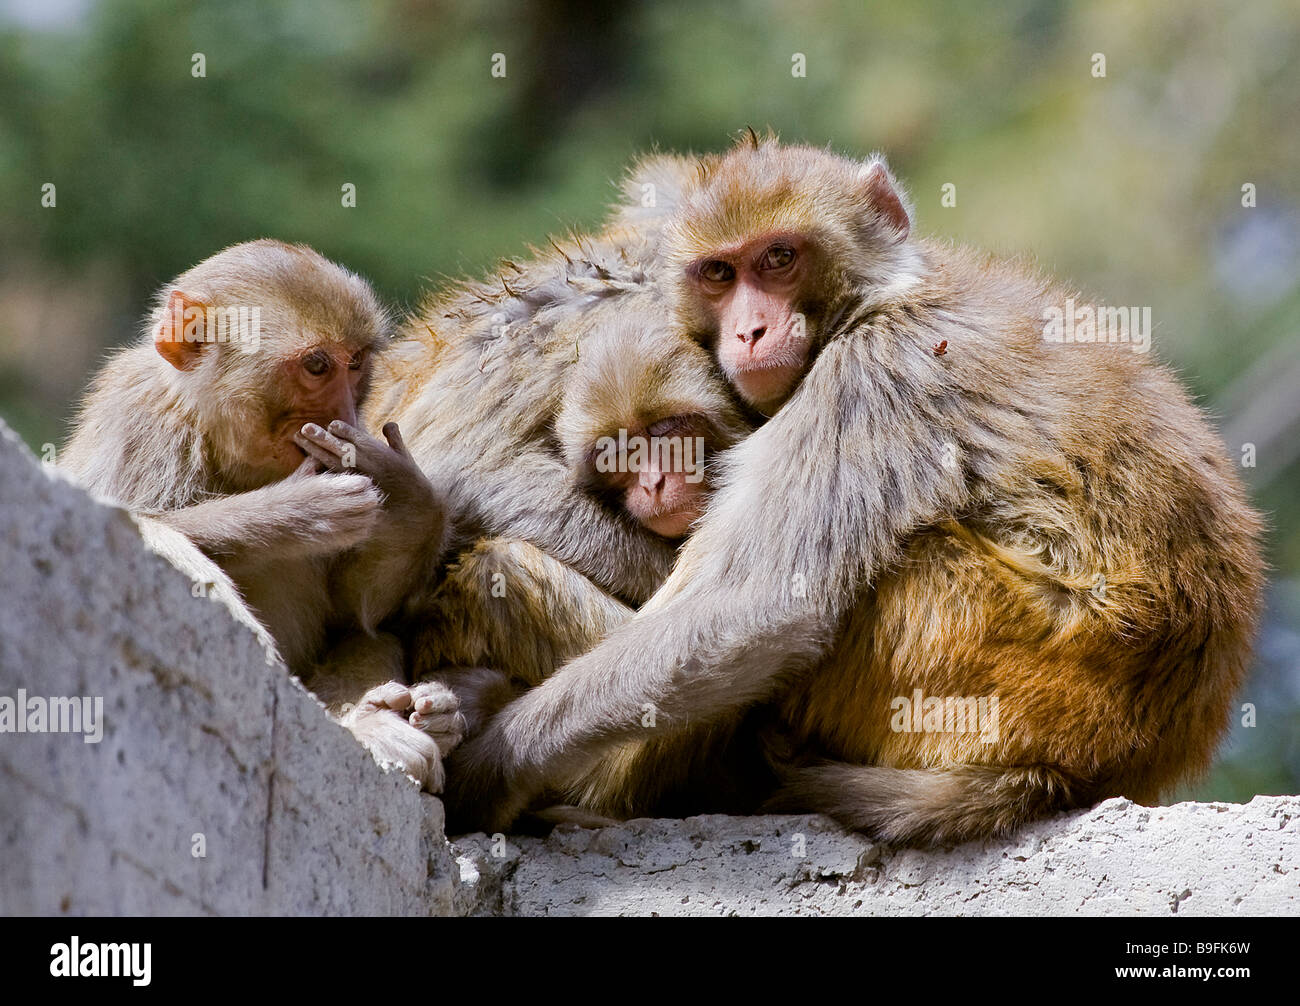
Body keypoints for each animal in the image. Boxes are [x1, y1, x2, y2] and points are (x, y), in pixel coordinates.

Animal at [59, 239, 462, 790]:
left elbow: (358, 612)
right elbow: (129, 515)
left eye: (355, 363)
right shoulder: (139, 419)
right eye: (317, 365)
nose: (345, 412)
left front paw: (405, 496)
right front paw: (293, 512)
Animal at [440, 135, 1266, 845]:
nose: (749, 332)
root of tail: (1105, 765)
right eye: (719, 274)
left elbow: (759, 608)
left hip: (998, 671)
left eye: (779, 258)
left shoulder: (873, 376)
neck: (878, 300)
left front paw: (492, 763)